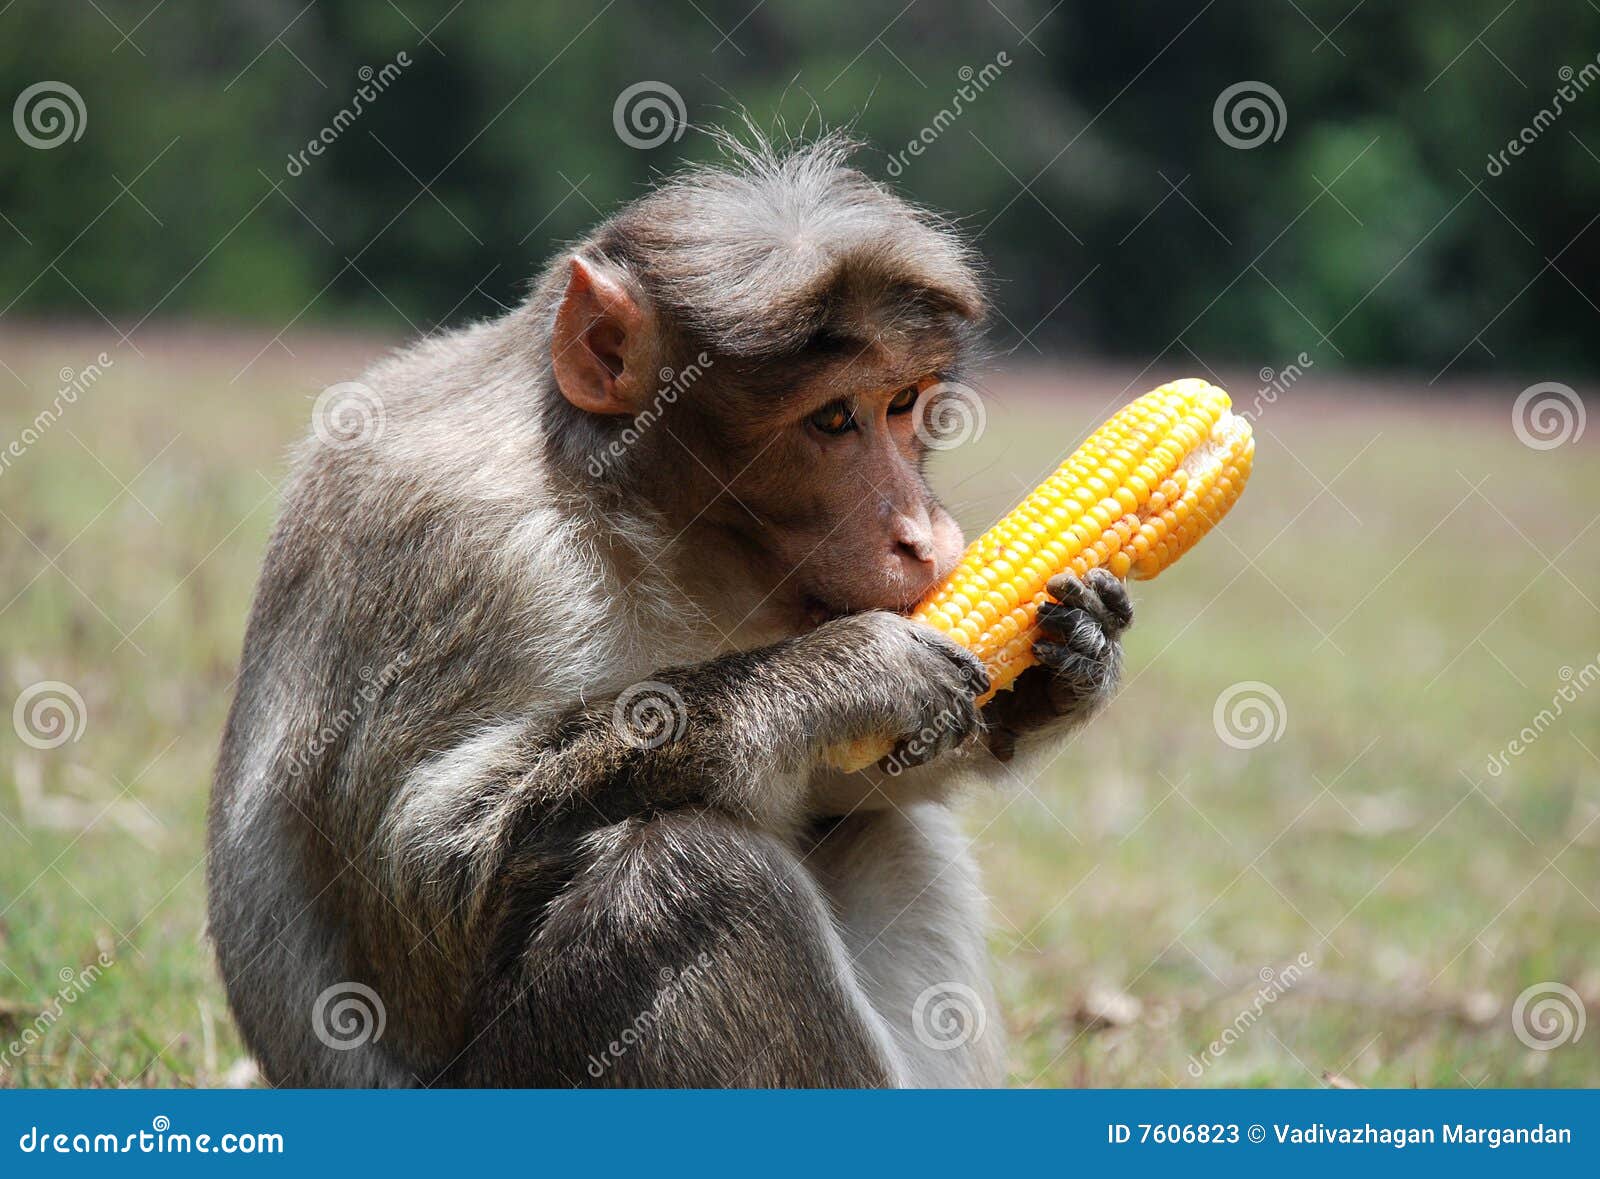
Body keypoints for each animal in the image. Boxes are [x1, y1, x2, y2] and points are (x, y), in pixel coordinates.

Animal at [206, 133, 1133, 1088]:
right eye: (834, 418)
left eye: (904, 403)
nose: (928, 537)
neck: (624, 508)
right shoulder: (466, 553)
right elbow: (420, 886)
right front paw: (838, 674)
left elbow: (843, 780)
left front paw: (1066, 665)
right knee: (684, 873)